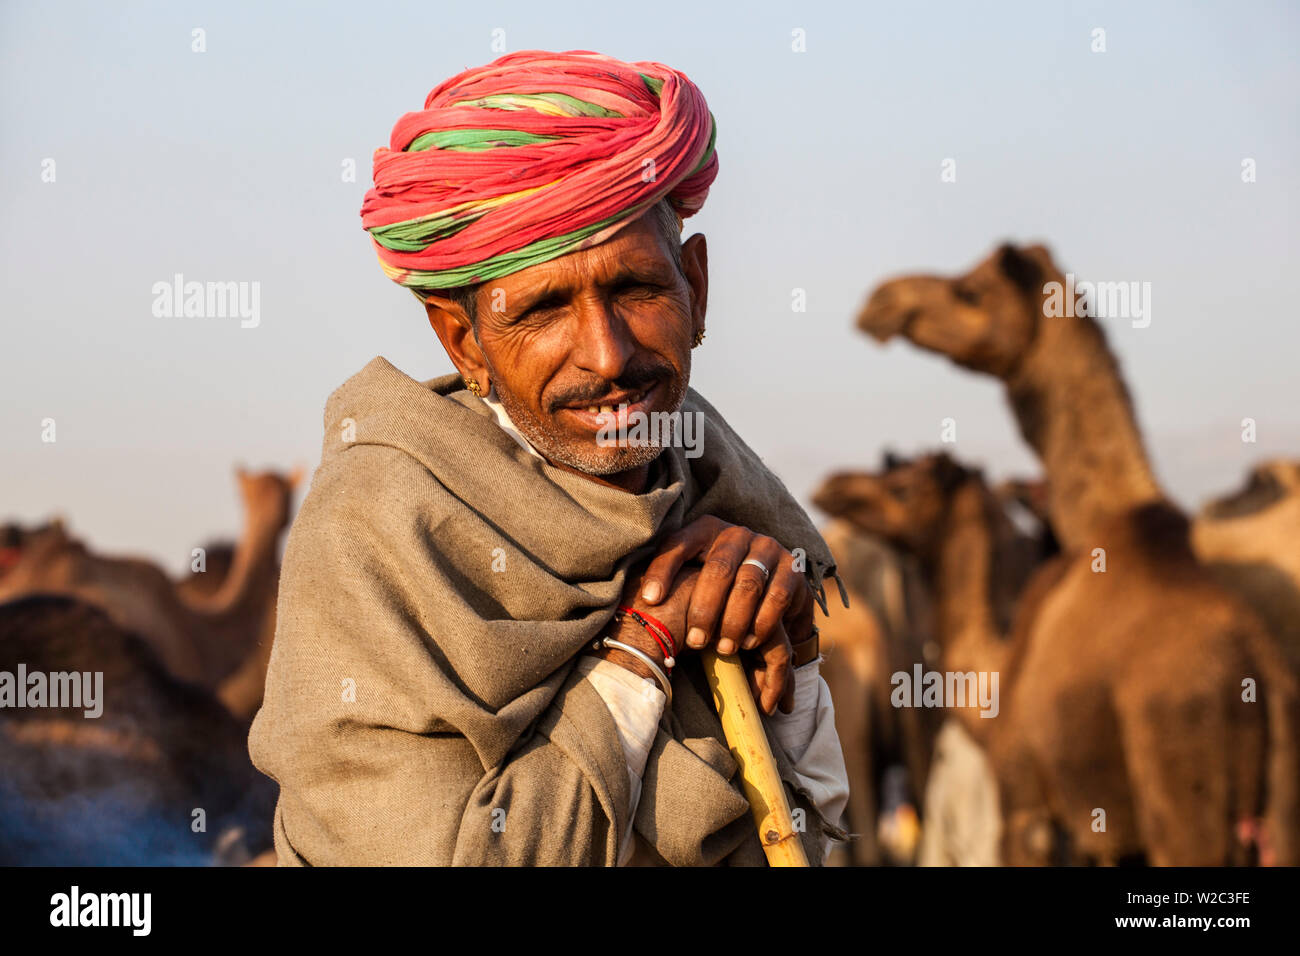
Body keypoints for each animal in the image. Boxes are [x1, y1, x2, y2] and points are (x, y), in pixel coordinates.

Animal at [856, 246, 1300, 864]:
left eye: (970, 290)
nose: (881, 302)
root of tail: (1266, 684)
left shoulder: (1027, 801)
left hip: (1182, 795)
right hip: (1282, 806)